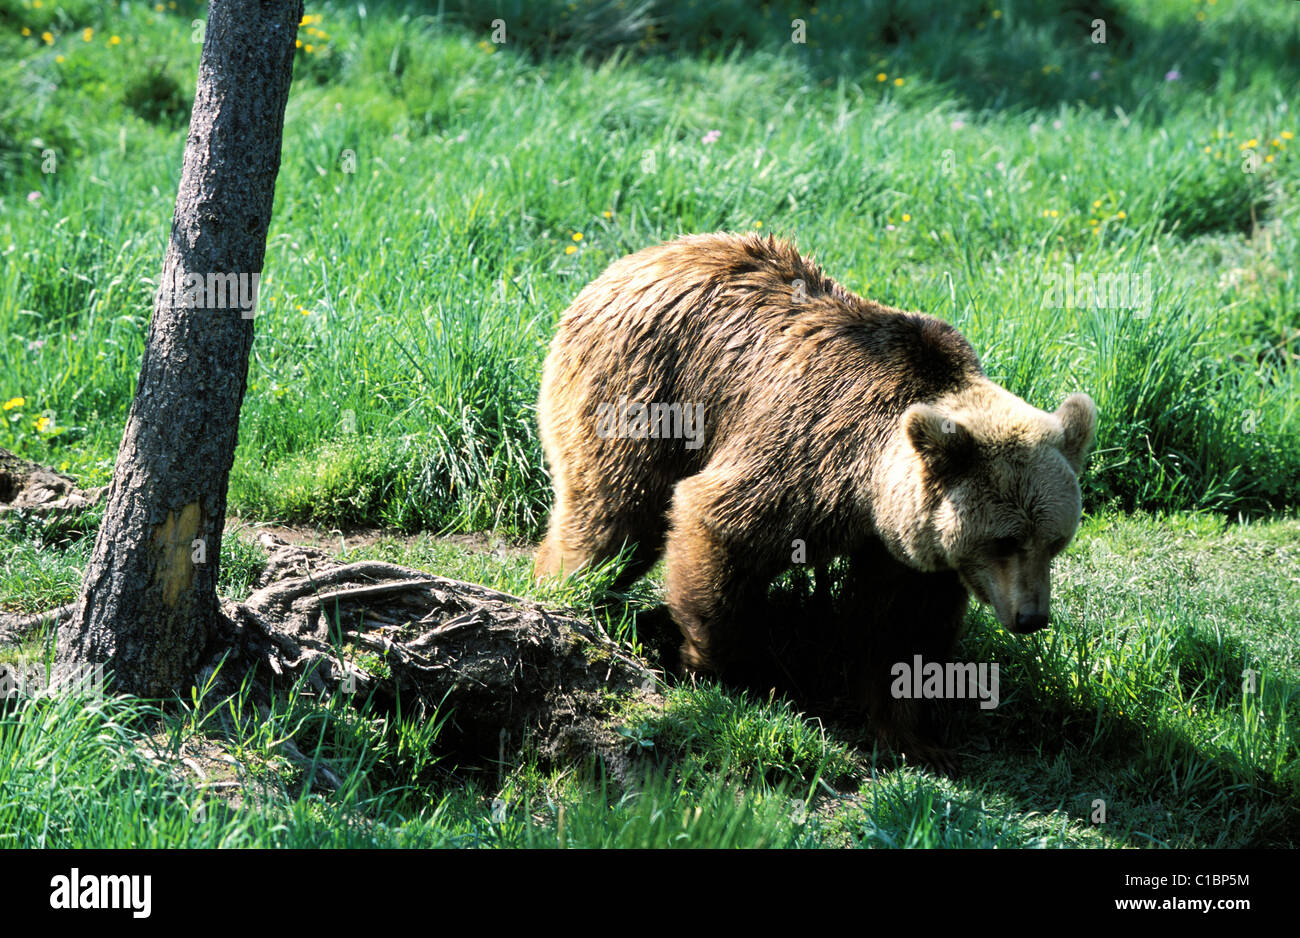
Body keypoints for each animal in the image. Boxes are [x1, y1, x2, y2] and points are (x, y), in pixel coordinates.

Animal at [534, 232, 1097, 768]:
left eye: (1055, 541)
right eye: (1005, 541)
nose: (1032, 617)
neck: (870, 487)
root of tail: (626, 264)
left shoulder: (913, 544)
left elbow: (900, 627)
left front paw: (915, 738)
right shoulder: (808, 451)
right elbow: (717, 526)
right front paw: (722, 673)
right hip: (642, 392)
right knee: (613, 514)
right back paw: (566, 589)